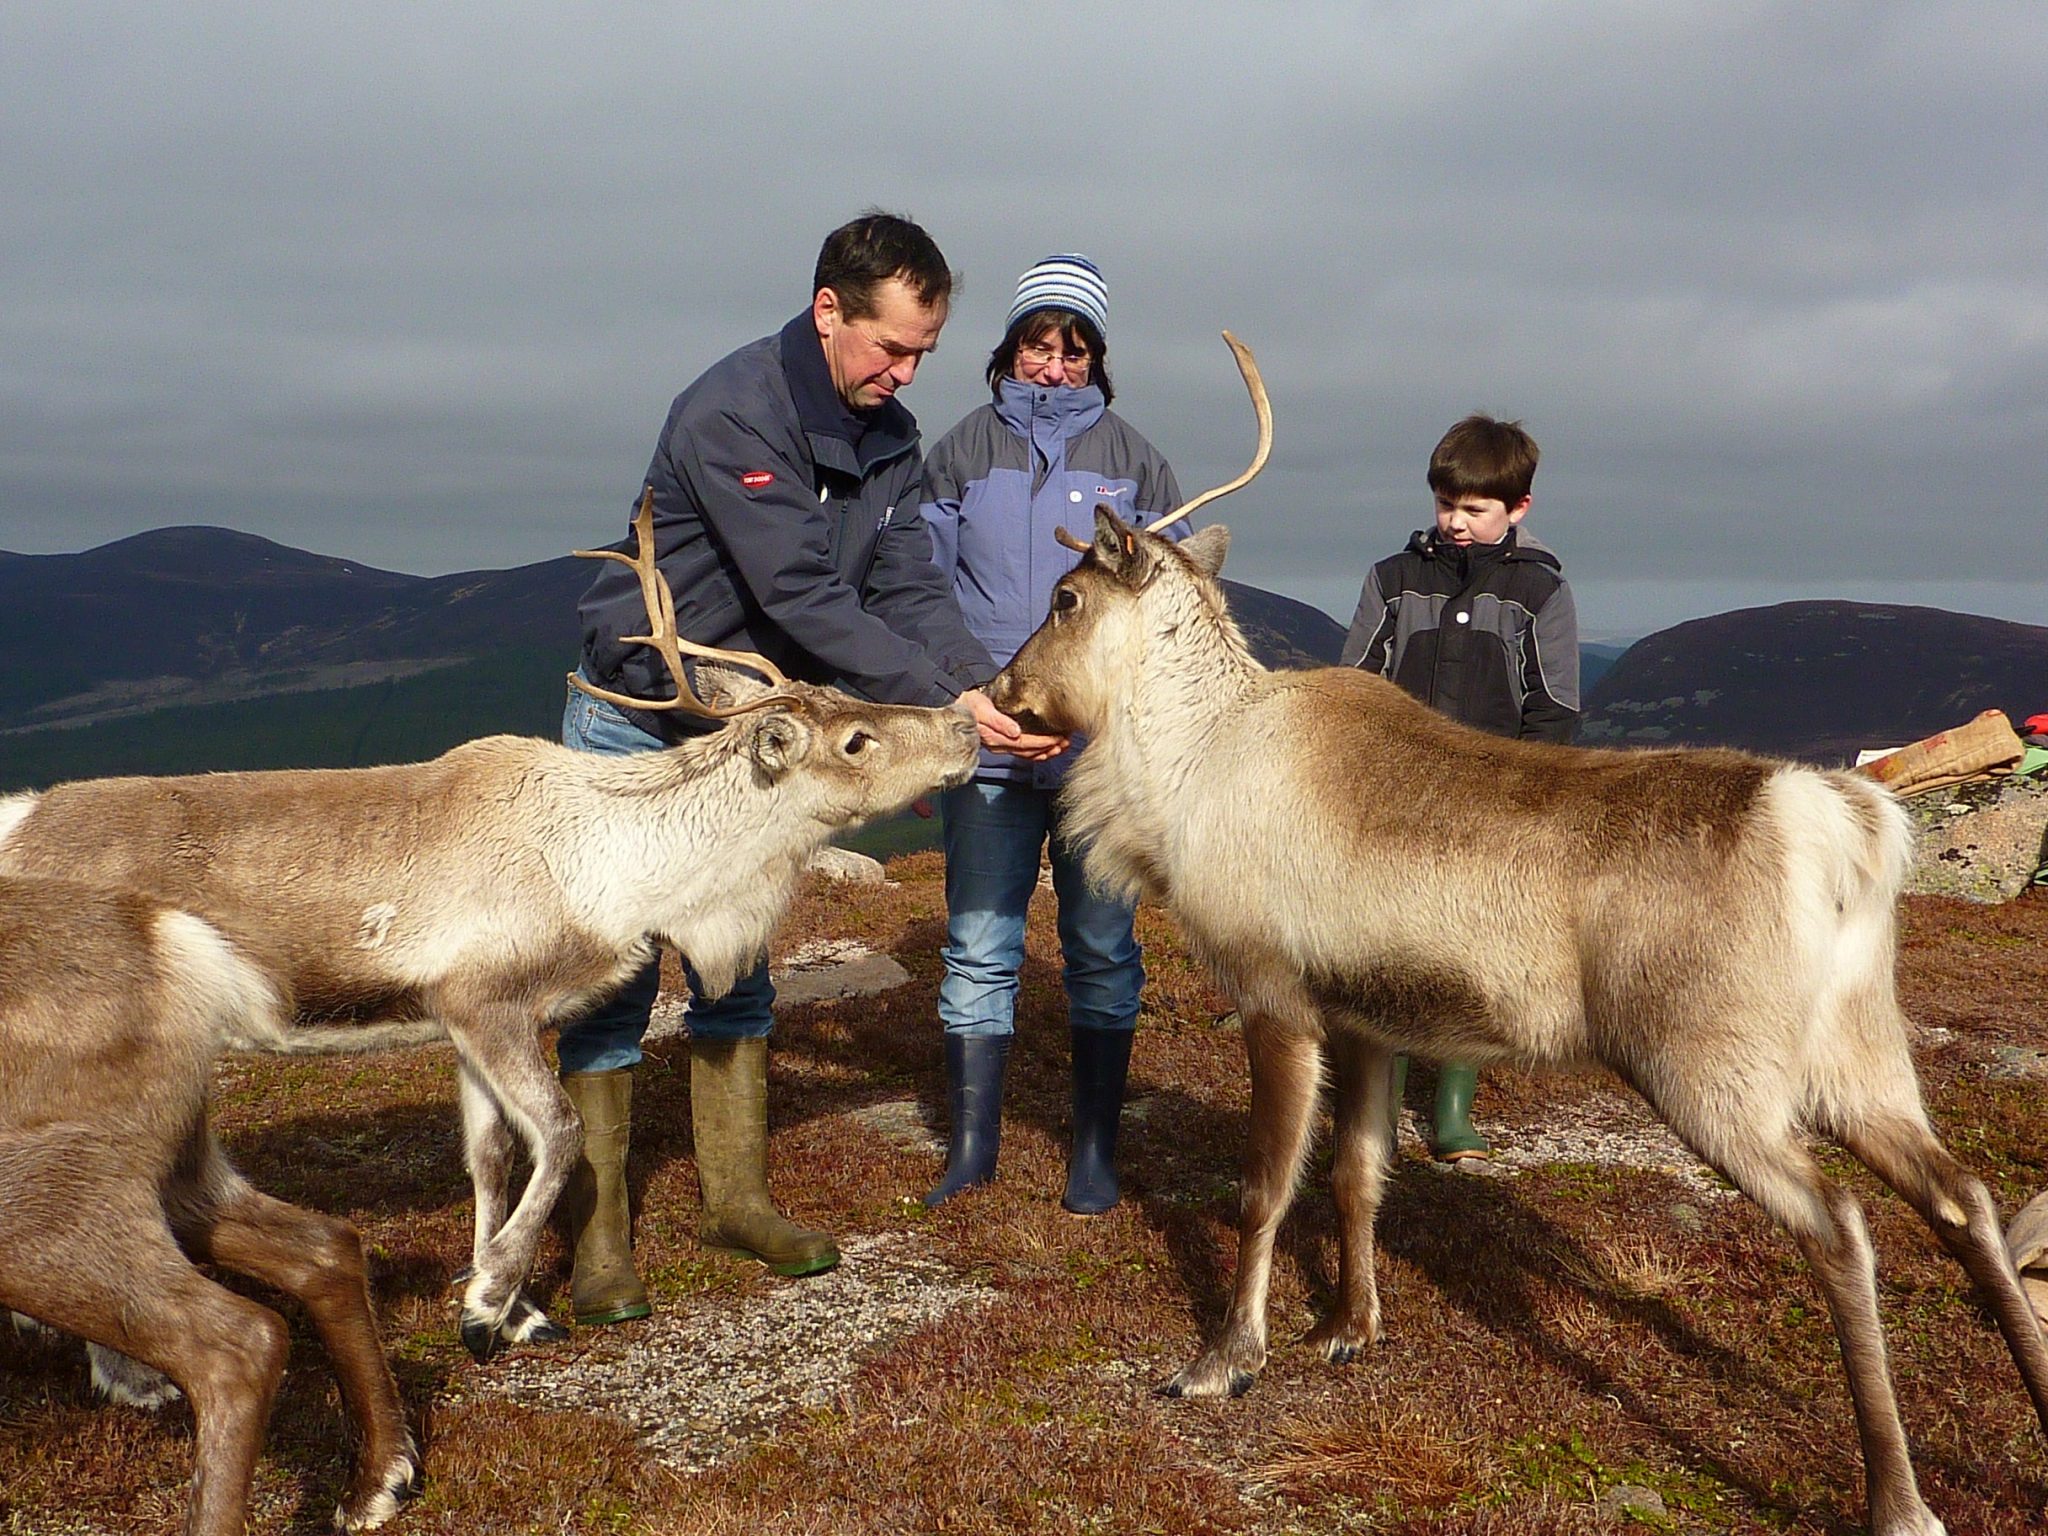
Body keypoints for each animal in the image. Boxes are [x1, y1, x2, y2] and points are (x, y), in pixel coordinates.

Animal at [0, 494, 983, 1363]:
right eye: (855, 740)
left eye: (851, 697)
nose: (966, 727)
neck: (621, 871)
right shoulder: (485, 999)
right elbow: (562, 1130)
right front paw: (486, 1302)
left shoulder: (460, 1018)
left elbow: (491, 1152)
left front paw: (514, 1312)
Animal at [0, 875, 421, 1536]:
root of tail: (177, 947)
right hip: (179, 1174)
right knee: (325, 1247)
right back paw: (376, 1483)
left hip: (42, 1206)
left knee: (238, 1342)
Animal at [986, 336, 2048, 1536]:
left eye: (1066, 596)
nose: (1003, 689)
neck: (1184, 769)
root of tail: (1840, 826)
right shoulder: (1369, 1020)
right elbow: (1357, 1172)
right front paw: (1349, 1328)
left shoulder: (1272, 992)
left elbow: (1264, 1186)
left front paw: (1224, 1360)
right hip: (1860, 1056)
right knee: (1961, 1196)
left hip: (1707, 1069)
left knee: (1839, 1225)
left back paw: (1898, 1501)